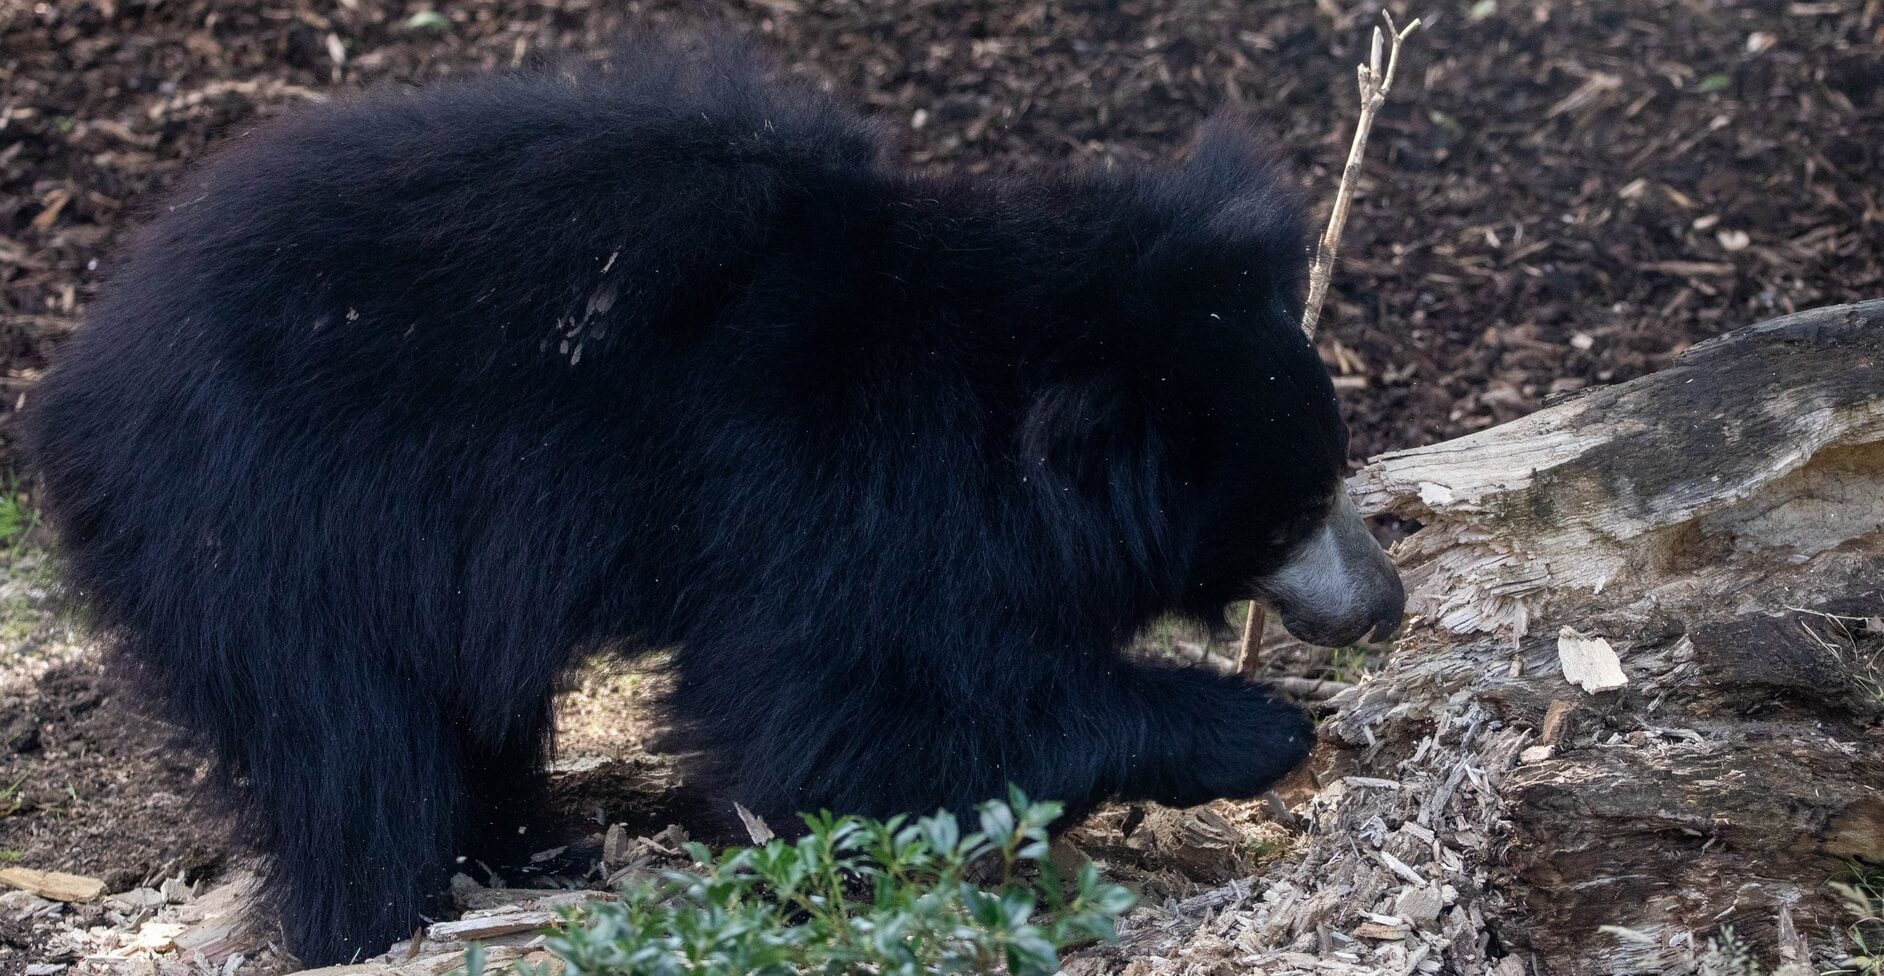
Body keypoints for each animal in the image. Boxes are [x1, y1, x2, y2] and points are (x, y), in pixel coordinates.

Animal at [26, 36, 1404, 966]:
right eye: (1290, 509)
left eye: (1335, 473)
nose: (1384, 603)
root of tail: (81, 380)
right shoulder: (819, 501)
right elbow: (842, 725)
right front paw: (1254, 726)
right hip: (266, 522)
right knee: (351, 741)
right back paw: (393, 913)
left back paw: (530, 851)